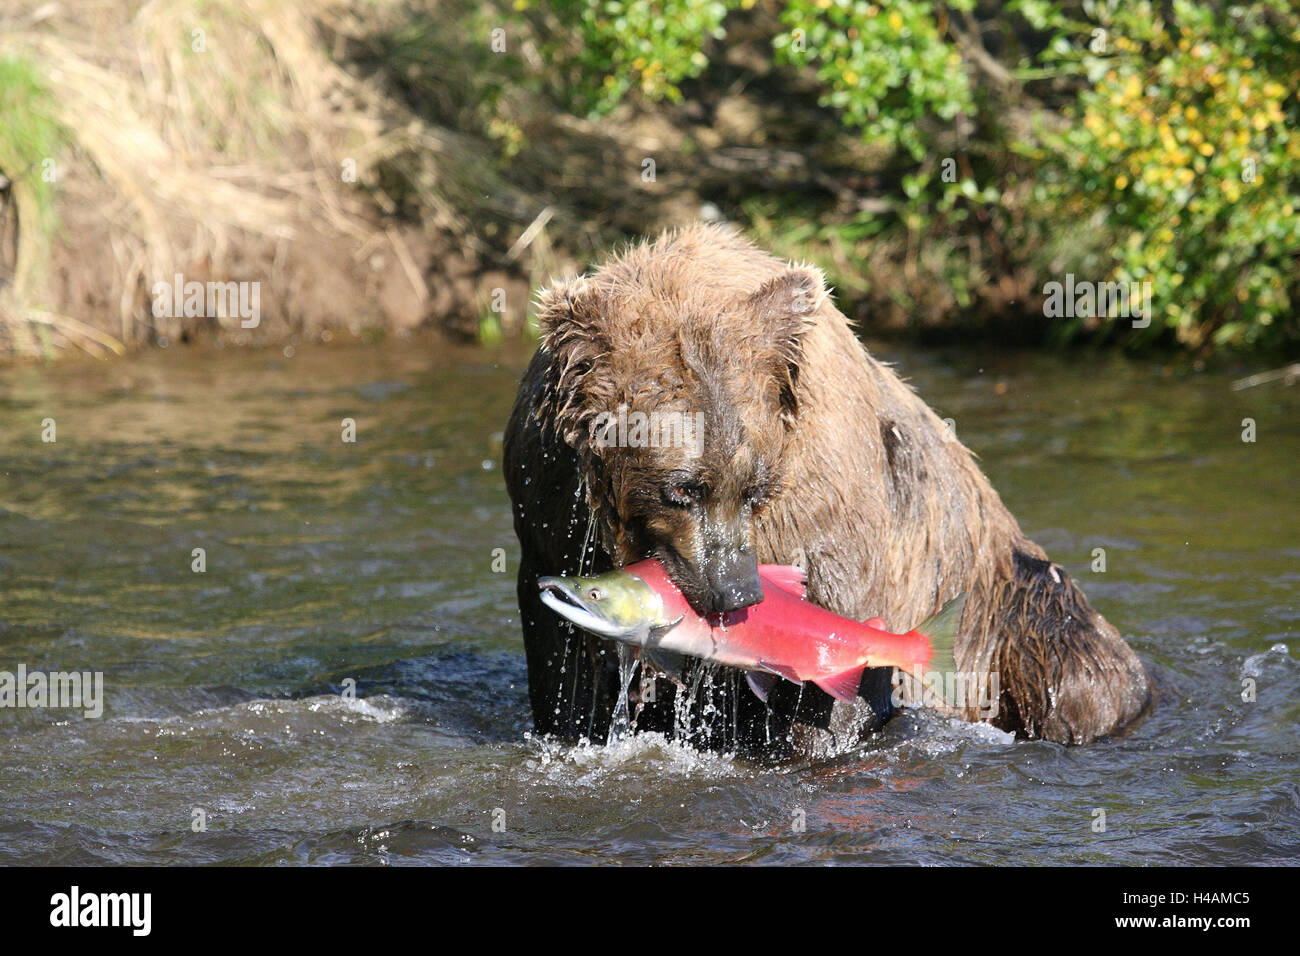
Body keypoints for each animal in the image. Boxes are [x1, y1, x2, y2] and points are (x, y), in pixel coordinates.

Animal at [503, 223, 1150, 755]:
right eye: (682, 490)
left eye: (756, 486)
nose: (738, 592)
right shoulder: (553, 503)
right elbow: (568, 666)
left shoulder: (827, 499)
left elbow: (838, 649)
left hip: (1003, 606)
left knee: (1079, 670)